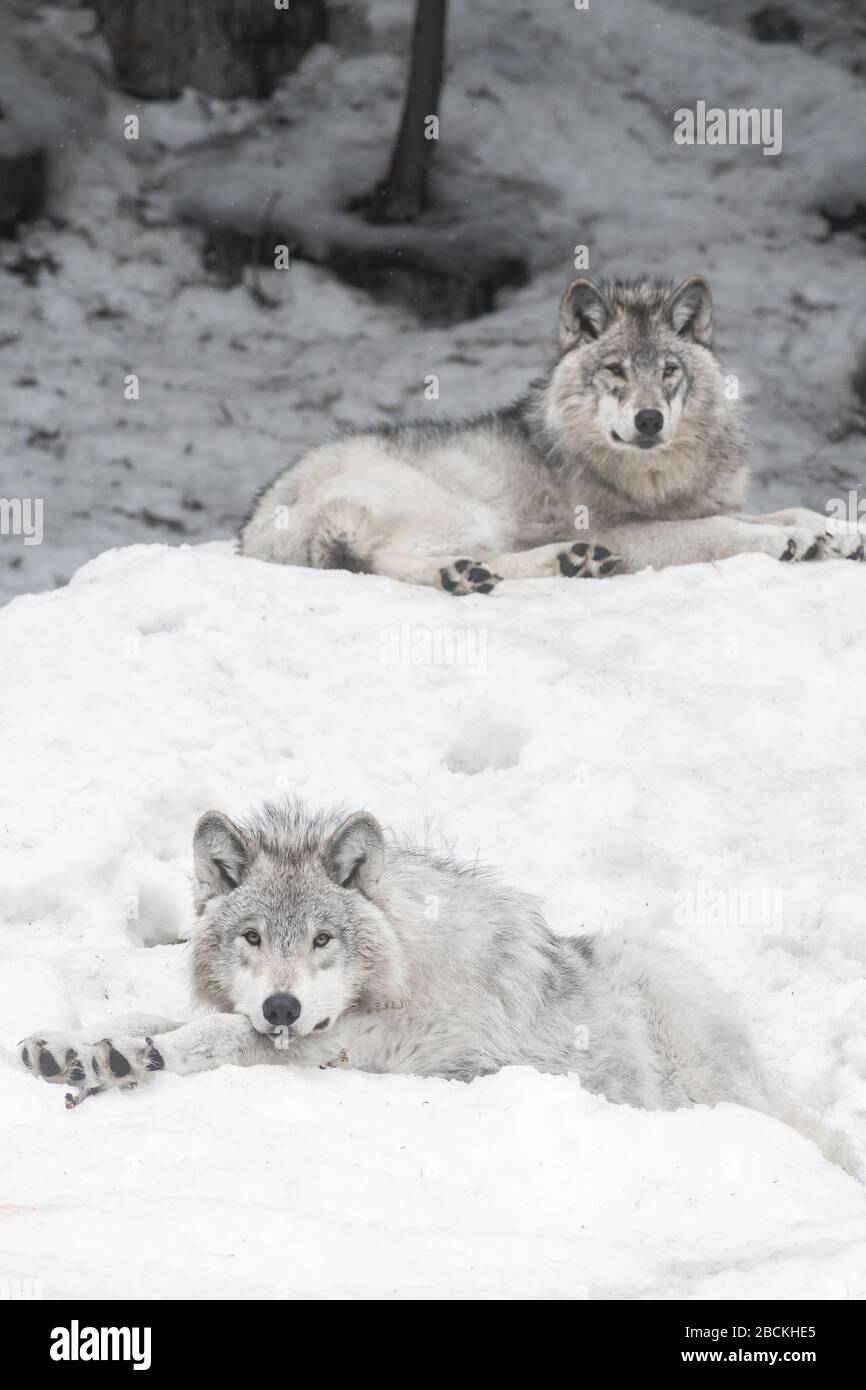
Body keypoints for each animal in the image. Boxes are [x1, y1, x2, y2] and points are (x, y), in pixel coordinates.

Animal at [20, 800, 858, 1175]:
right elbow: (147, 1013)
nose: (283, 1005)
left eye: (322, 940)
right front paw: (73, 1046)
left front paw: (129, 1059)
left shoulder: (382, 1048)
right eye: (252, 938)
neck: (404, 969)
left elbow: (217, 1033)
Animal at [239, 275, 863, 593]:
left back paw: (560, 564)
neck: (655, 475)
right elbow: (724, 529)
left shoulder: (697, 504)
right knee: (386, 562)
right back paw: (481, 572)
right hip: (461, 511)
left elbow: (786, 510)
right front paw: (787, 542)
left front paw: (839, 531)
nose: (649, 421)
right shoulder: (629, 530)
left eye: (668, 370)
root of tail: (256, 530)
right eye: (615, 370)